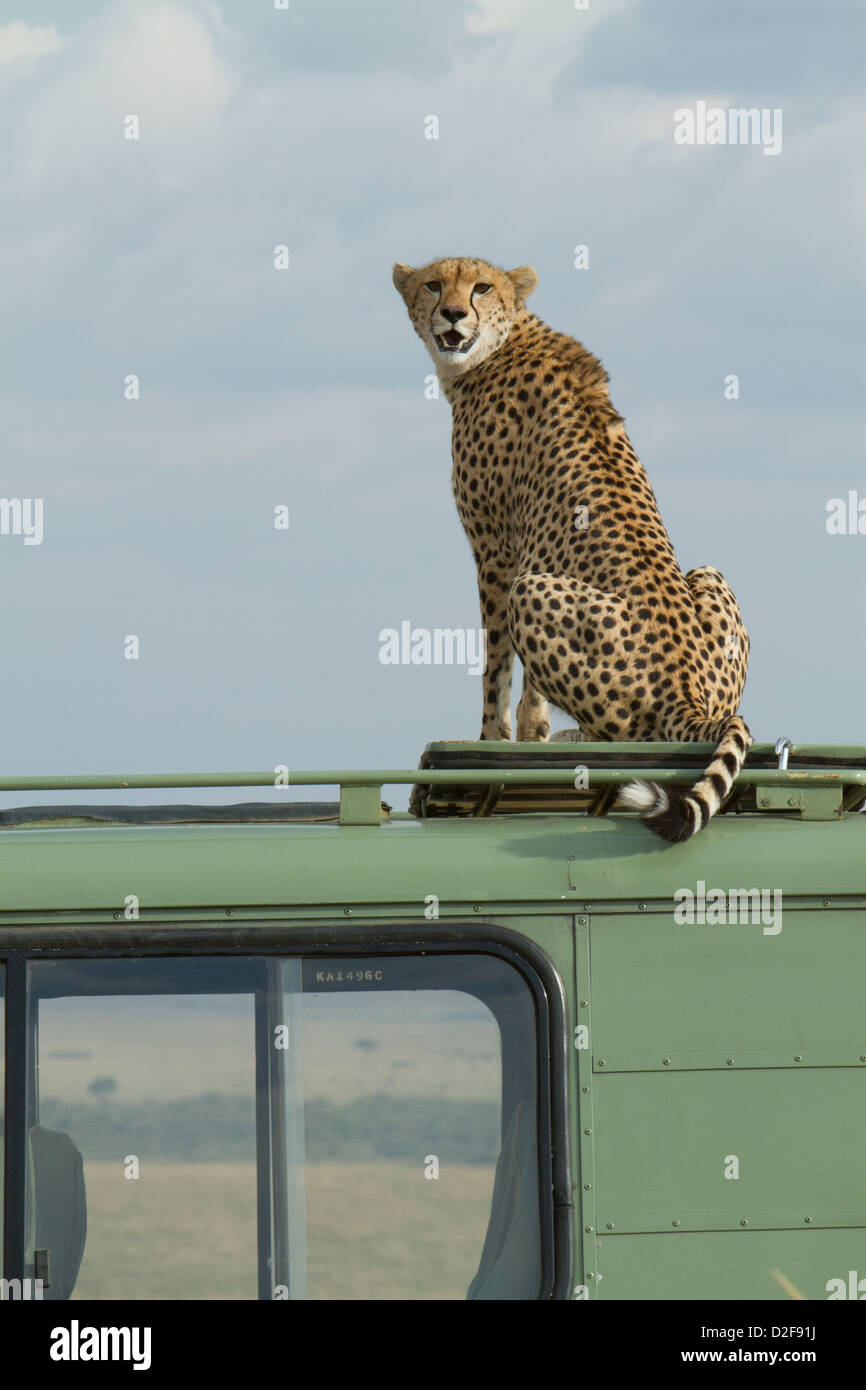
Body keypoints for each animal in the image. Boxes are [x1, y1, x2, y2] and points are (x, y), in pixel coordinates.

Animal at [393, 256, 752, 843]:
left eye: (481, 287)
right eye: (433, 284)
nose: (453, 313)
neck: (503, 341)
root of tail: (690, 691)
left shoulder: (497, 553)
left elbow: (495, 662)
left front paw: (491, 738)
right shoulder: (522, 550)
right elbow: (528, 688)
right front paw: (531, 735)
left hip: (530, 590)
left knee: (630, 737)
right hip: (709, 574)